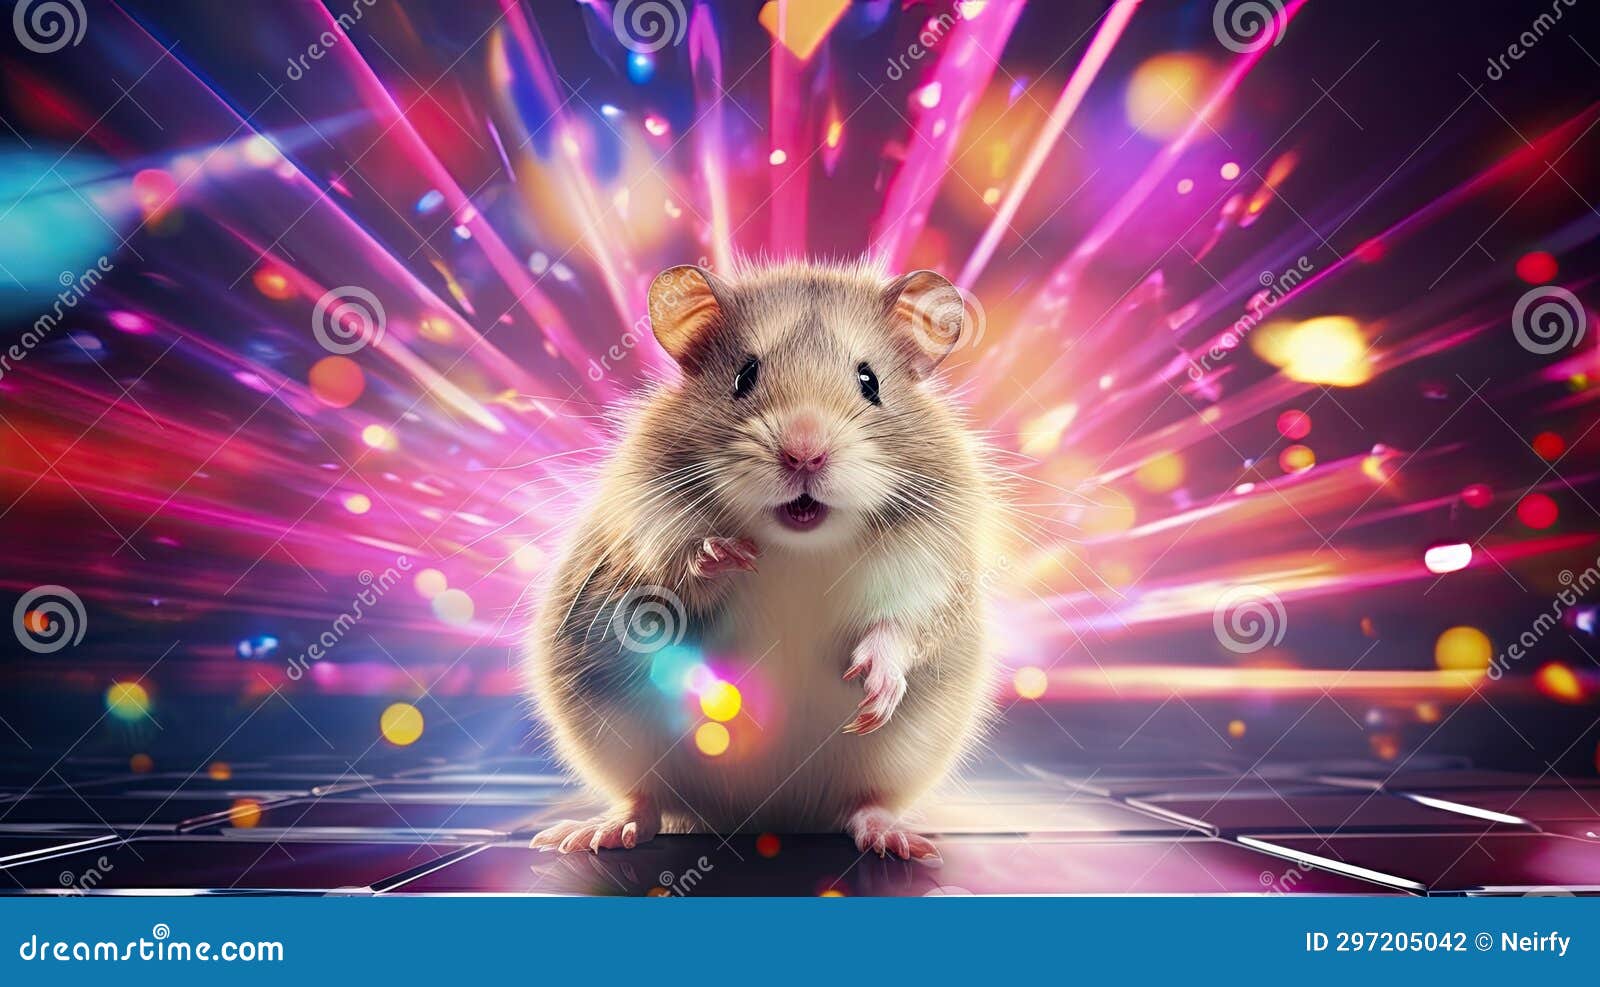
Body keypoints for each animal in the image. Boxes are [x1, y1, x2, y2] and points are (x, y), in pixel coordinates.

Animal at [525, 257, 999, 860]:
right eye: (744, 376)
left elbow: (906, 626)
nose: (804, 452)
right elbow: (666, 586)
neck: (798, 546)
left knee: (863, 804)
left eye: (869, 381)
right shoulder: (638, 535)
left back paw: (897, 837)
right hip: (615, 738)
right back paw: (593, 832)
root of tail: (767, 817)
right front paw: (717, 553)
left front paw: (874, 684)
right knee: (645, 799)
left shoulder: (940, 568)